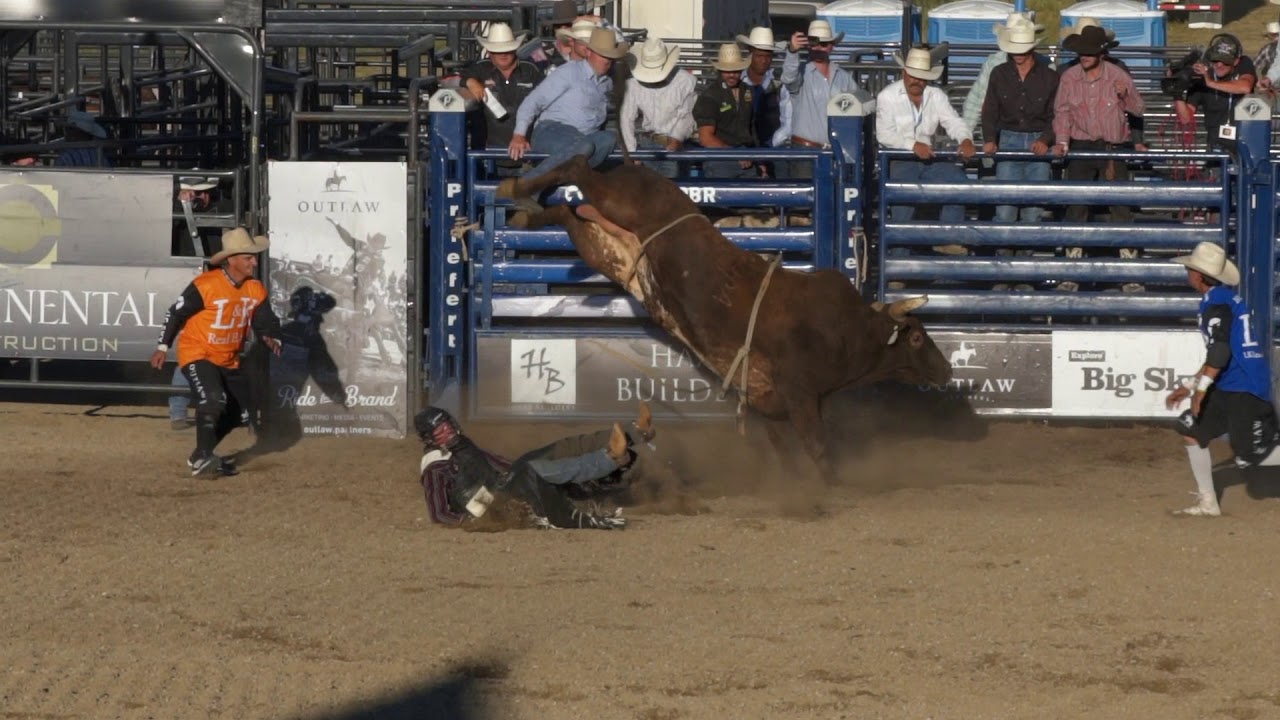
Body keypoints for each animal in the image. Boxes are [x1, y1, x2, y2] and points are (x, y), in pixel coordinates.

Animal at [497, 155, 952, 482]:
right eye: (915, 337)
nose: (947, 370)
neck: (845, 328)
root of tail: (639, 168)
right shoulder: (801, 395)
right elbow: (818, 448)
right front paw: (830, 488)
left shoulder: (766, 403)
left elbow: (783, 449)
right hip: (616, 200)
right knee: (576, 166)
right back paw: (518, 188)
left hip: (606, 248)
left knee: (566, 211)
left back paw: (525, 211)